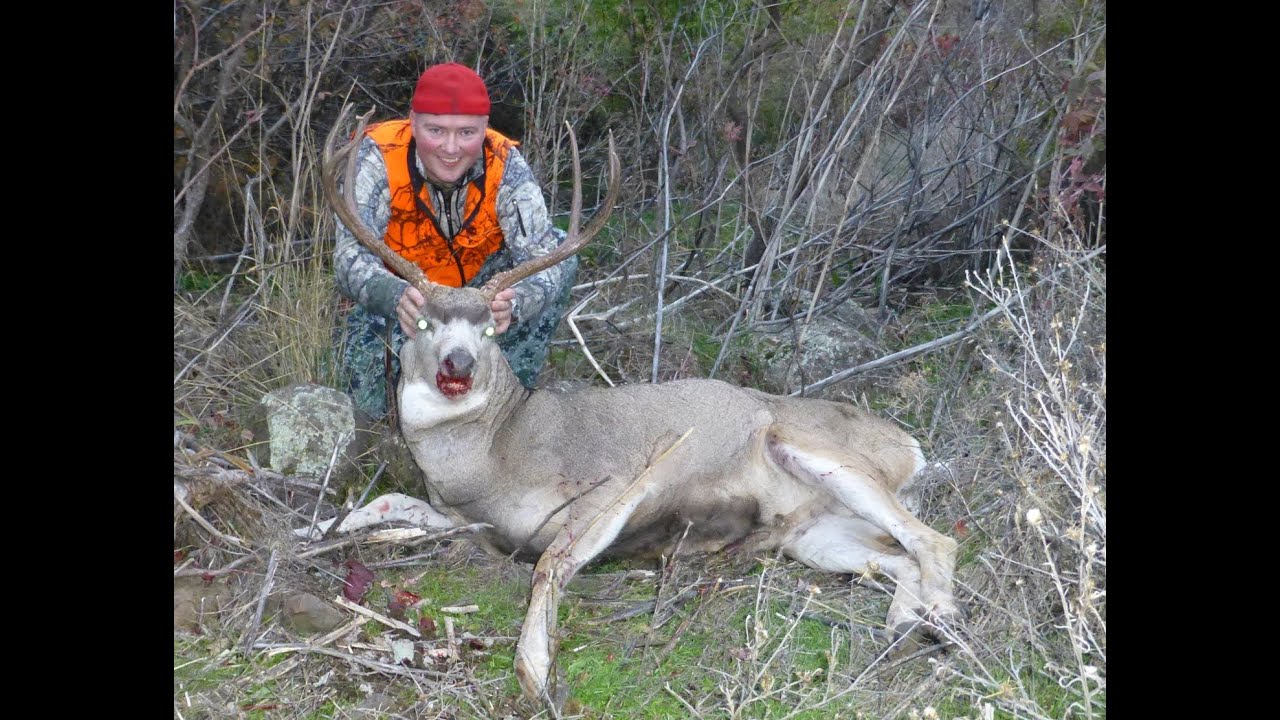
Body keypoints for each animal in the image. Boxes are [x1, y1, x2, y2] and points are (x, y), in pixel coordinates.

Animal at [316, 105, 960, 707]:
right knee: (900, 554)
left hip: (817, 451)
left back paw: (944, 621)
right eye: (422, 322)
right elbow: (384, 502)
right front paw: (323, 526)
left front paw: (535, 672)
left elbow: (551, 564)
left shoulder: (615, 482)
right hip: (814, 535)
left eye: (491, 331)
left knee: (936, 540)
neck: (495, 454)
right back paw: (905, 626)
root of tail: (912, 447)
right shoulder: (462, 516)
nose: (458, 364)